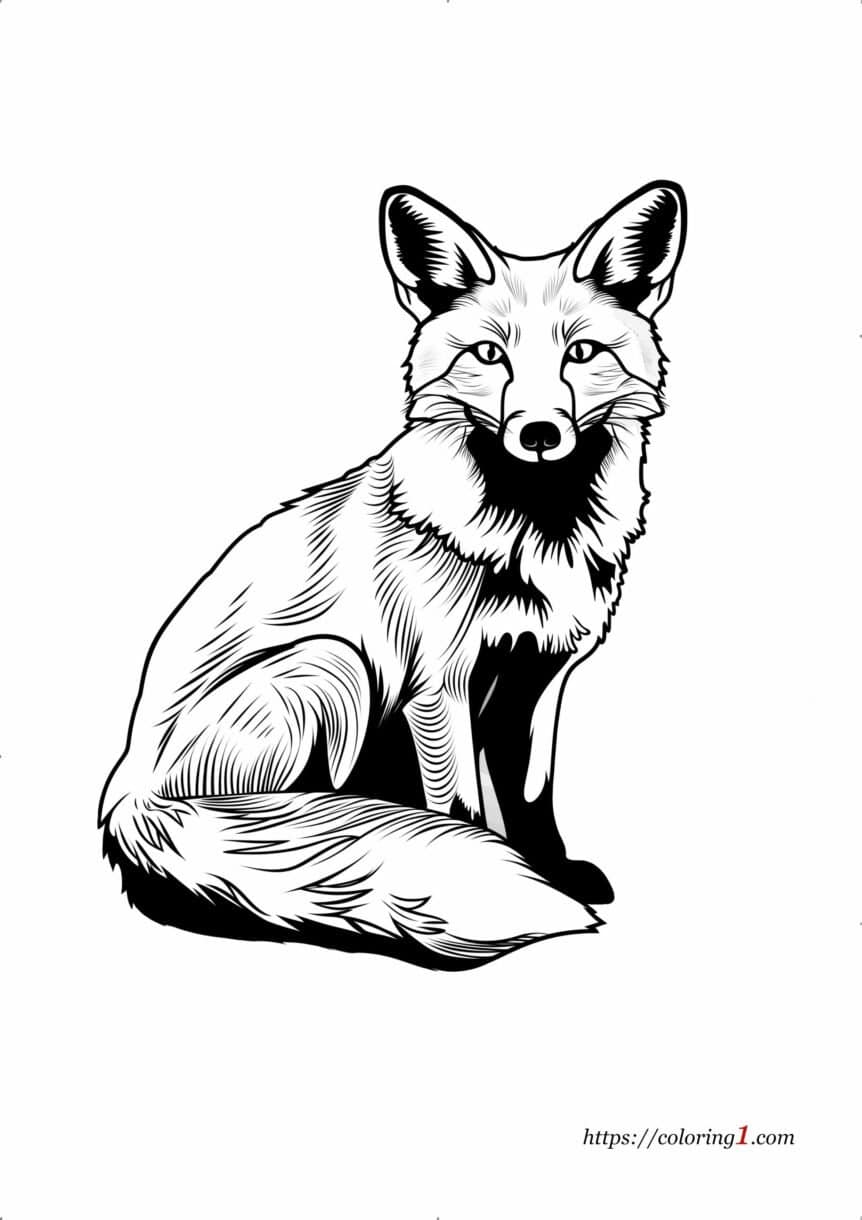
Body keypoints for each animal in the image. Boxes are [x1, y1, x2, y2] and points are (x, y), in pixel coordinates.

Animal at [100, 181, 687, 969]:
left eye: (581, 353)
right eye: (489, 355)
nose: (538, 433)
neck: (531, 540)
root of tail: (126, 791)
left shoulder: (537, 682)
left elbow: (532, 797)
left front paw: (553, 870)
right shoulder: (438, 687)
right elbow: (463, 808)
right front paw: (496, 860)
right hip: (332, 667)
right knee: (292, 818)